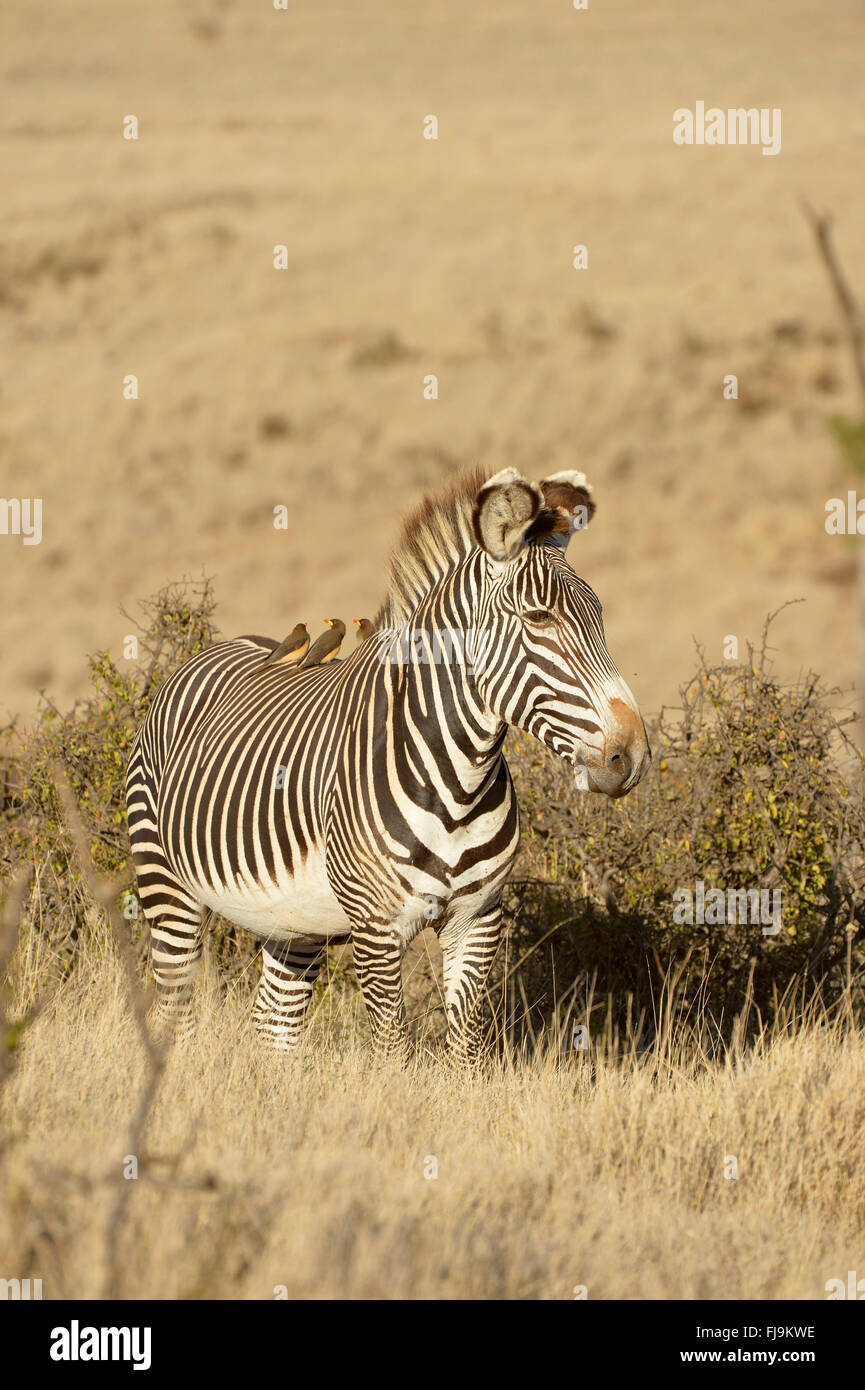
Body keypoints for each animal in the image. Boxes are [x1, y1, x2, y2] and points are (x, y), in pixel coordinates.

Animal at [125, 466, 650, 1061]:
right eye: (538, 618)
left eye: (599, 615)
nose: (631, 755)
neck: (459, 785)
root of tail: (224, 647)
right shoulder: (376, 928)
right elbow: (392, 1050)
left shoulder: (478, 920)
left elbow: (464, 1051)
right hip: (166, 884)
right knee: (177, 1009)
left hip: (293, 922)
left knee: (274, 1023)